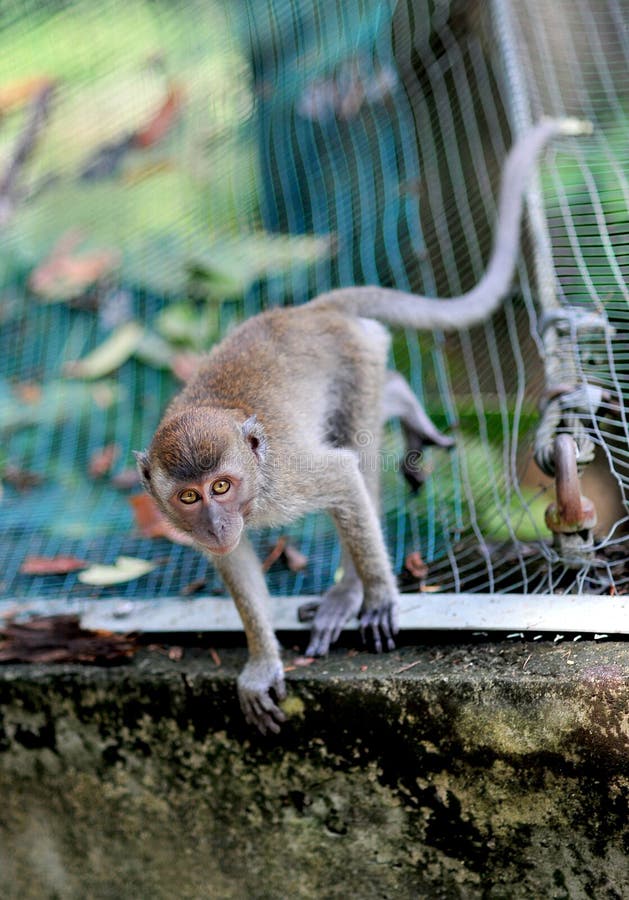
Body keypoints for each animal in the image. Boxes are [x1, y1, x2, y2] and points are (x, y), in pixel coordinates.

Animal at [135, 118, 591, 733]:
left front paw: (375, 594)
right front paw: (261, 661)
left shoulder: (288, 480)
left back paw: (350, 592)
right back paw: (403, 406)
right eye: (190, 497)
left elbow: (342, 476)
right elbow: (234, 559)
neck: (257, 480)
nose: (215, 521)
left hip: (354, 358)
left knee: (357, 451)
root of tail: (309, 312)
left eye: (222, 486)